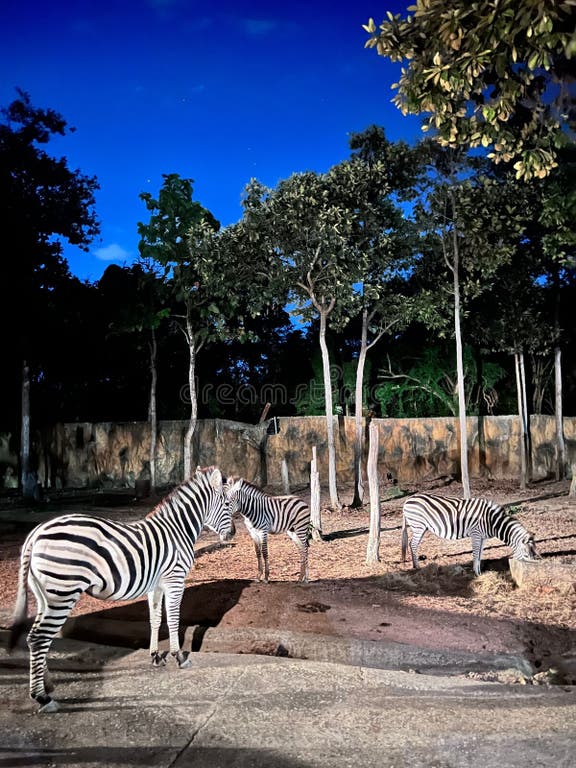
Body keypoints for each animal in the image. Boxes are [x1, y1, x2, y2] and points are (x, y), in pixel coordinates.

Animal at [9, 466, 234, 713]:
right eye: (228, 504)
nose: (232, 534)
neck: (177, 530)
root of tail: (36, 532)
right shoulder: (175, 580)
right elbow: (174, 620)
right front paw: (179, 657)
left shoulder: (156, 585)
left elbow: (155, 620)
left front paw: (155, 656)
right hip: (62, 592)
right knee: (40, 638)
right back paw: (42, 697)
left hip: (45, 595)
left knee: (35, 637)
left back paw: (47, 685)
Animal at [401, 492, 539, 576]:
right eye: (526, 555)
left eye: (533, 554)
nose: (532, 573)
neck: (492, 521)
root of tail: (408, 499)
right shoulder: (476, 534)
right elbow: (475, 554)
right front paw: (476, 573)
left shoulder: (483, 537)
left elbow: (480, 555)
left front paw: (479, 573)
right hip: (418, 525)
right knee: (413, 544)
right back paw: (417, 567)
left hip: (420, 527)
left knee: (411, 543)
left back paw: (414, 565)